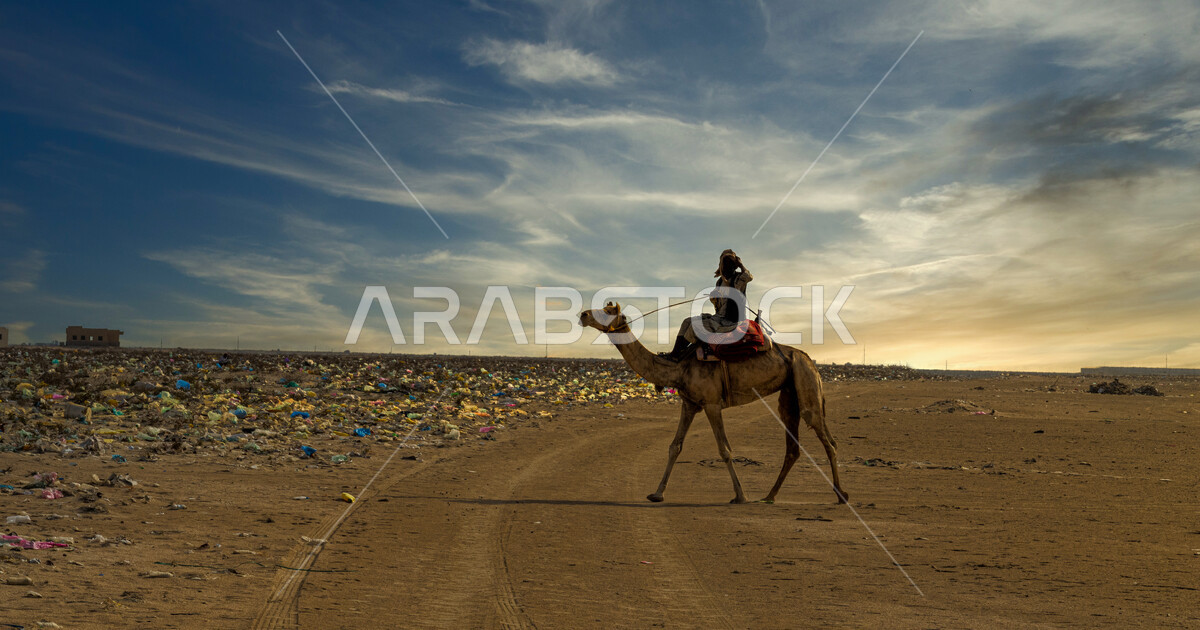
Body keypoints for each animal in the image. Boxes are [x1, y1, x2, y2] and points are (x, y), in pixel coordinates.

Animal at [579, 302, 847, 504]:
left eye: (608, 310)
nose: (583, 314)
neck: (678, 367)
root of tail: (810, 360)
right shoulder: (689, 404)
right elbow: (674, 447)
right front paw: (657, 493)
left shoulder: (711, 403)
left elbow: (724, 449)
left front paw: (740, 496)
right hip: (789, 392)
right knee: (794, 446)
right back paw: (769, 496)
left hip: (804, 378)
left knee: (827, 438)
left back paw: (841, 495)